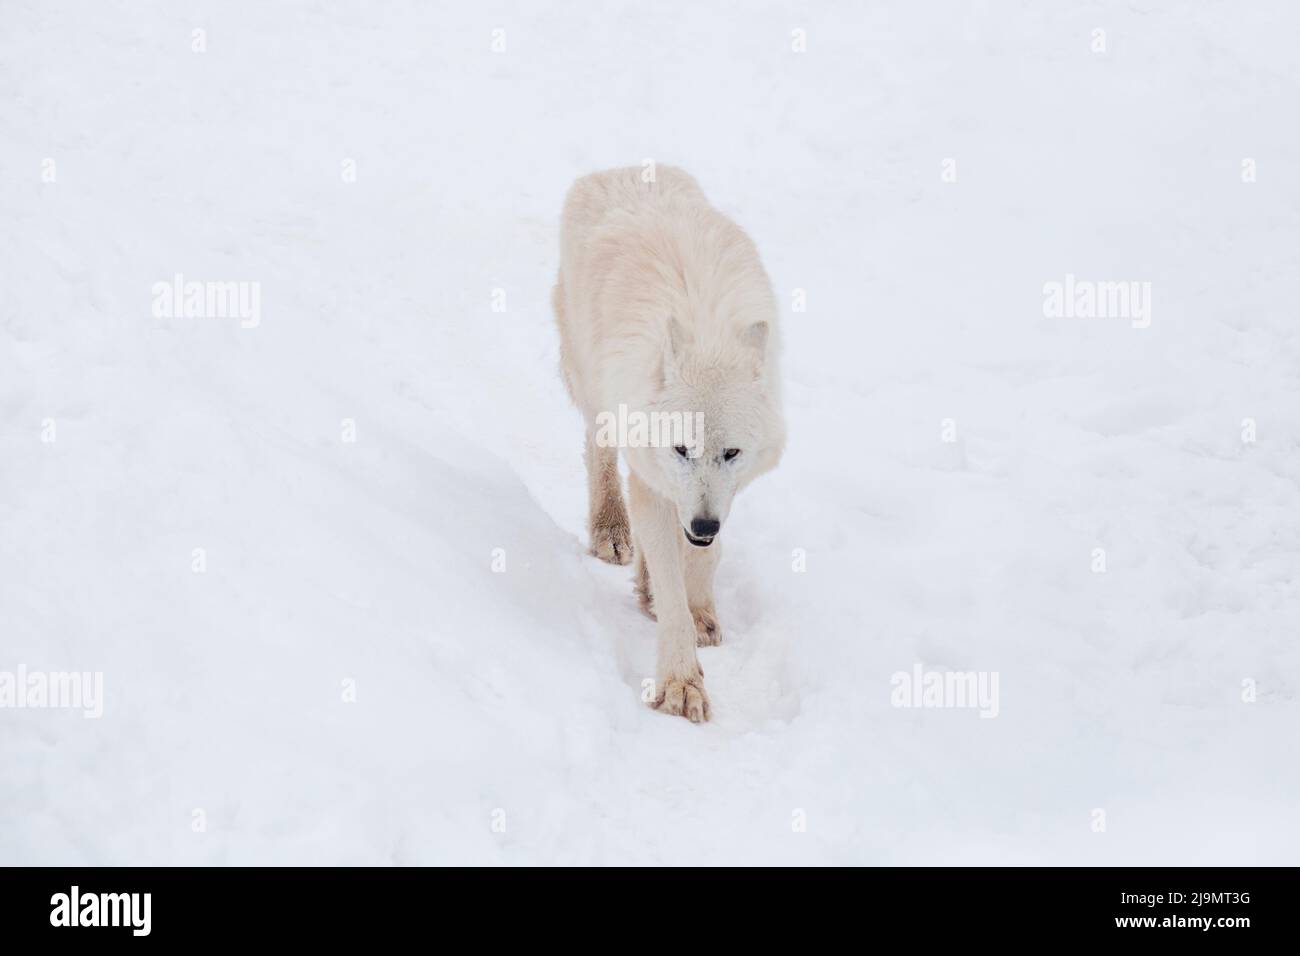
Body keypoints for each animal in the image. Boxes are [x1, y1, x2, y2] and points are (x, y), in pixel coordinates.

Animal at [552, 165, 785, 722]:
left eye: (731, 453)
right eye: (682, 449)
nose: (702, 525)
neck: (707, 332)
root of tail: (619, 169)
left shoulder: (719, 495)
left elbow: (702, 559)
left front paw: (699, 611)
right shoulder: (659, 476)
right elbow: (671, 579)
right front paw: (681, 683)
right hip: (593, 389)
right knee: (598, 453)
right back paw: (612, 531)